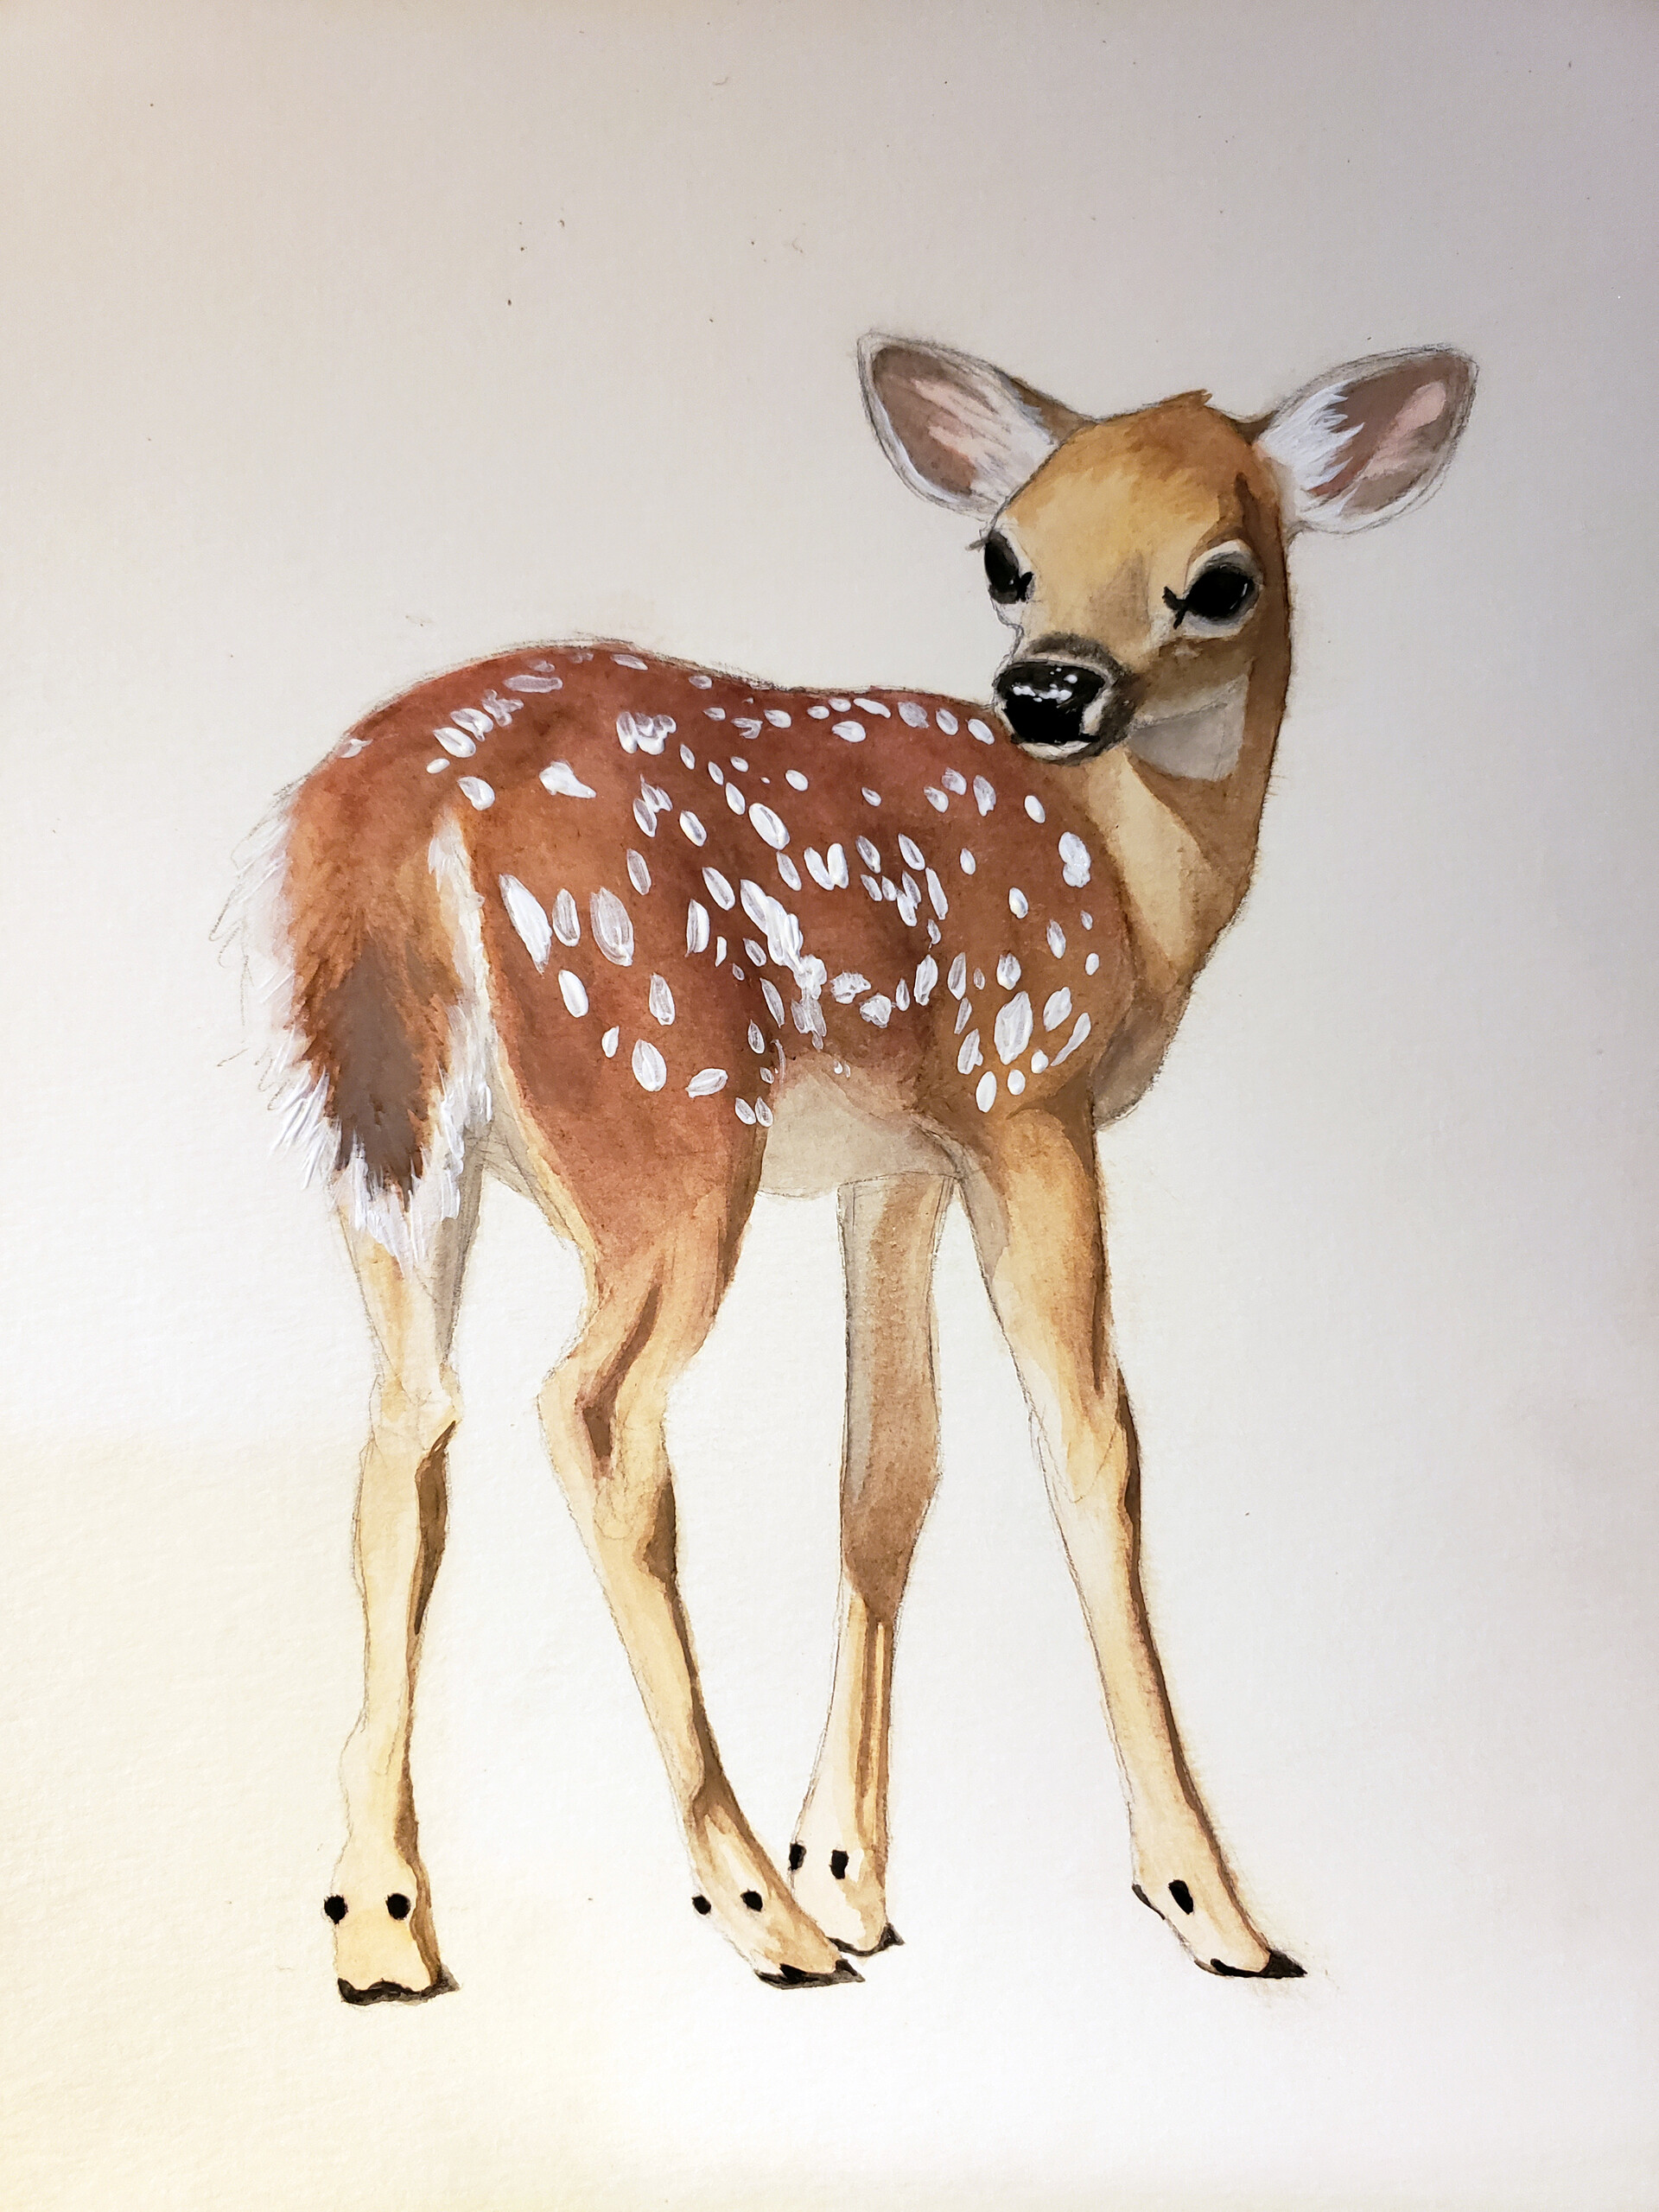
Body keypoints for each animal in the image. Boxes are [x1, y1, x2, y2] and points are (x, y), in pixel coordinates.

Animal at [228, 333, 1473, 2003]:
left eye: (1222, 579)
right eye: (1008, 554)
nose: (1046, 688)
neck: (1135, 890)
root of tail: (393, 811)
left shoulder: (900, 1164)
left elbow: (886, 1470)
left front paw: (861, 1870)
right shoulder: (1027, 1095)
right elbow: (1092, 1447)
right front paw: (1207, 1901)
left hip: (396, 1150)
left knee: (405, 1428)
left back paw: (384, 1922)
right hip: (667, 1121)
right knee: (592, 1413)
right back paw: (755, 1908)